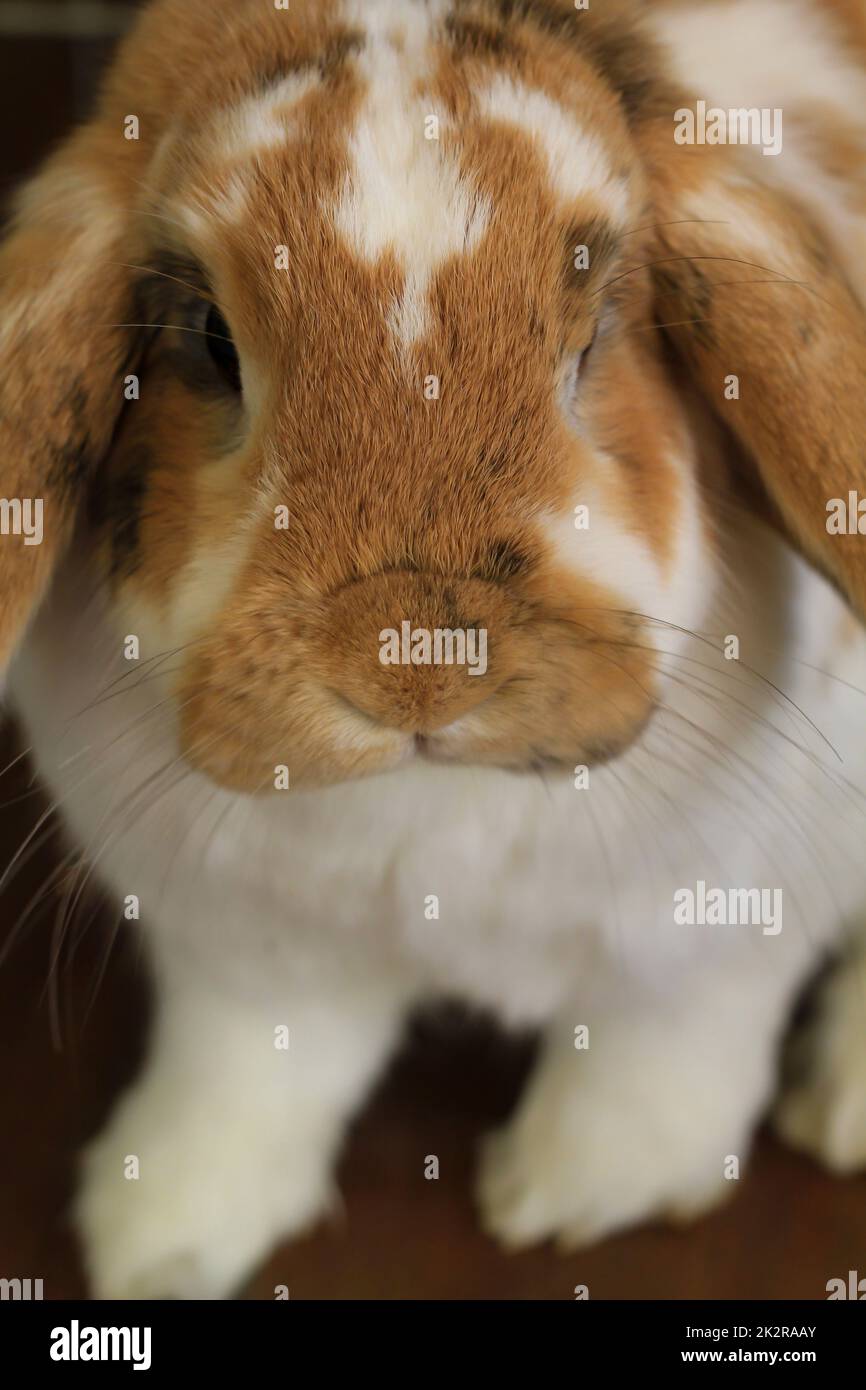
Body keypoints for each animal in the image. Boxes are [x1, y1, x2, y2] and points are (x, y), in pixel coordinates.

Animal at [2, 0, 866, 1299]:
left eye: (594, 341)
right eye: (208, 340)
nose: (414, 664)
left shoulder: (720, 937)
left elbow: (656, 1061)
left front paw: (559, 1196)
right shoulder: (243, 956)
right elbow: (243, 1076)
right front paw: (158, 1239)